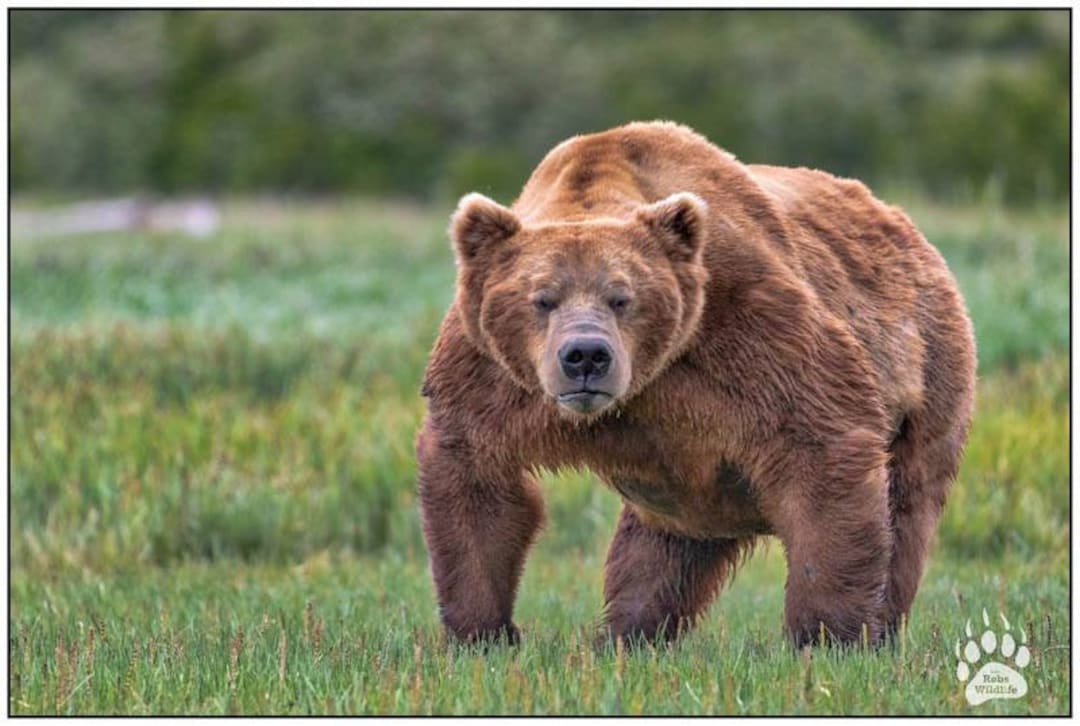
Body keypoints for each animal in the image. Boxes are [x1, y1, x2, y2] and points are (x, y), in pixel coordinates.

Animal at [416, 120, 976, 649]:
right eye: (542, 298)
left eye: (622, 297)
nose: (586, 357)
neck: (644, 382)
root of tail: (904, 224)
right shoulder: (492, 371)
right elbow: (475, 477)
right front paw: (482, 633)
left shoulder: (746, 326)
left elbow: (821, 442)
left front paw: (826, 635)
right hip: (688, 496)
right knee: (659, 553)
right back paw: (629, 634)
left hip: (929, 369)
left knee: (907, 509)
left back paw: (882, 628)